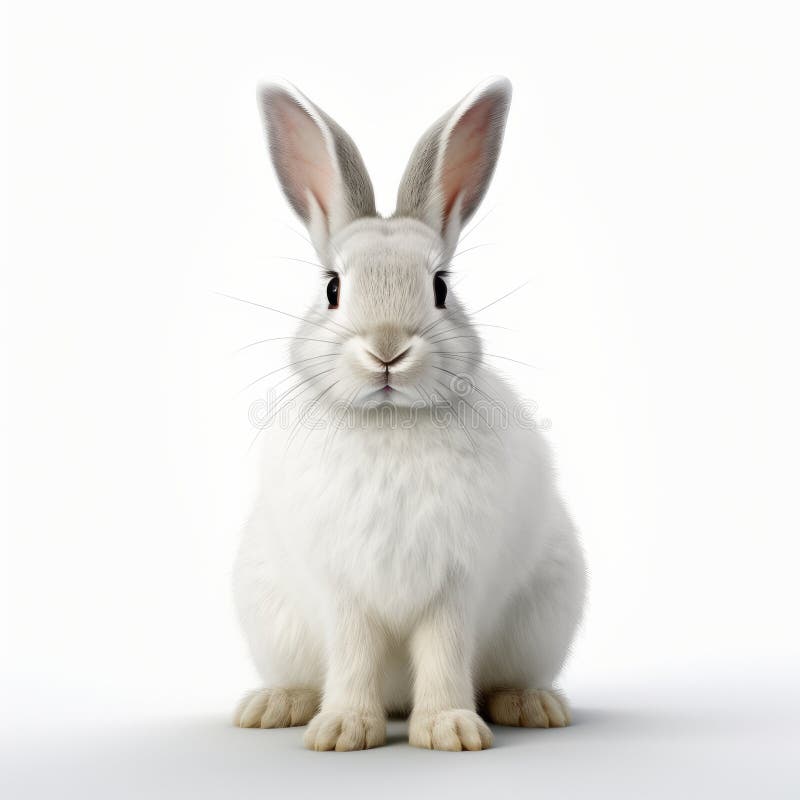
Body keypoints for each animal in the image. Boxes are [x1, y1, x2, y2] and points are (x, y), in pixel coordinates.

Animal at [232, 76, 587, 752]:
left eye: (441, 287)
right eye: (332, 288)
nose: (387, 349)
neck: (391, 422)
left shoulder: (454, 586)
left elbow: (444, 653)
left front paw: (450, 730)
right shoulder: (343, 590)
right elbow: (352, 653)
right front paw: (342, 730)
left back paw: (531, 706)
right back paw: (275, 706)